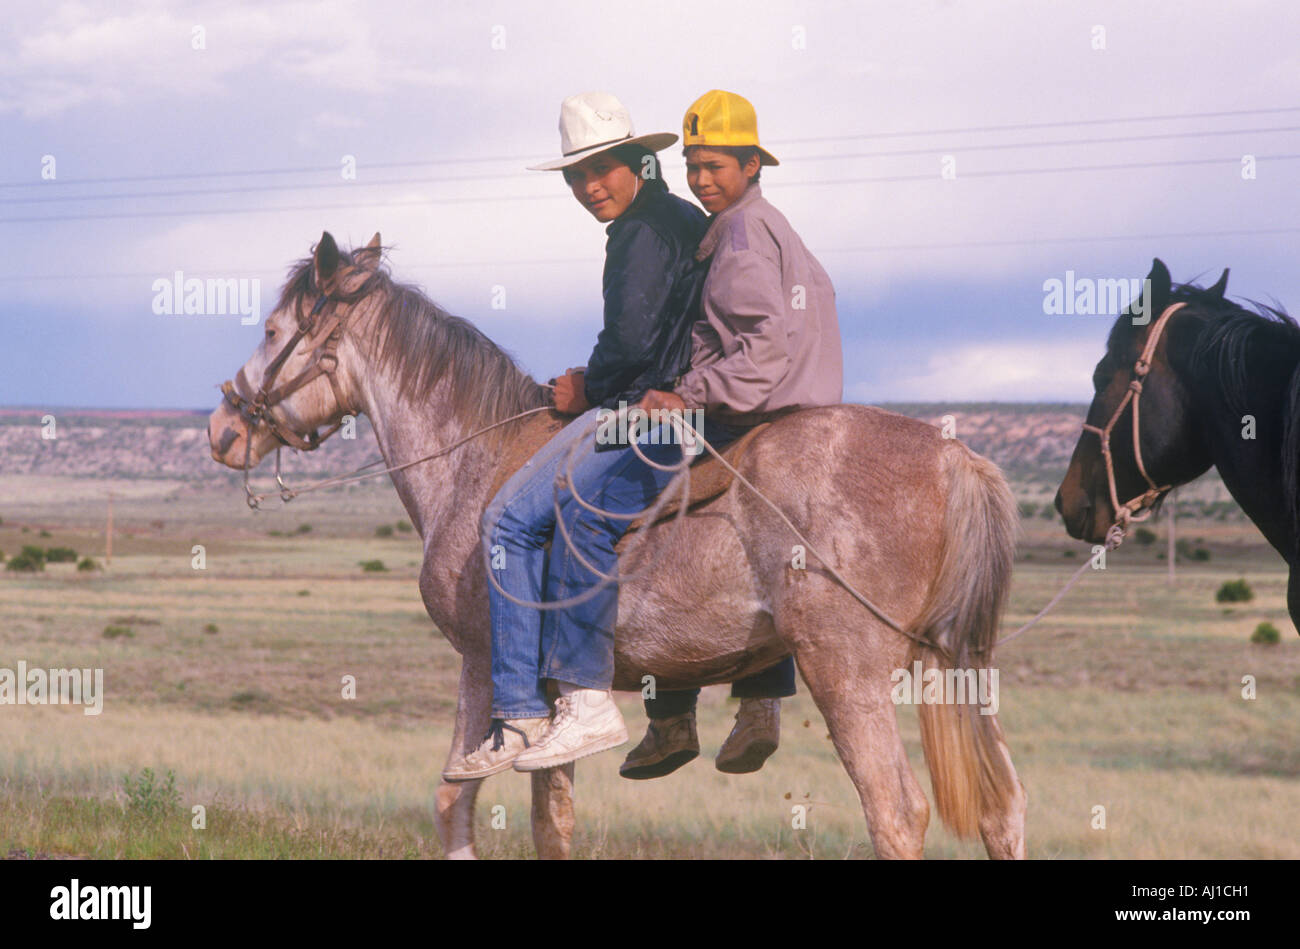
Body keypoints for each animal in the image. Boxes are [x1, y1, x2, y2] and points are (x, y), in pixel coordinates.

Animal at [207, 231, 1028, 859]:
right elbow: (532, 816)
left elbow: (471, 802)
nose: (222, 427)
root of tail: (955, 456)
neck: (478, 455)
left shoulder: (487, 663)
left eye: (273, 332)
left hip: (847, 674)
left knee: (896, 813)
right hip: (958, 668)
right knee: (1002, 808)